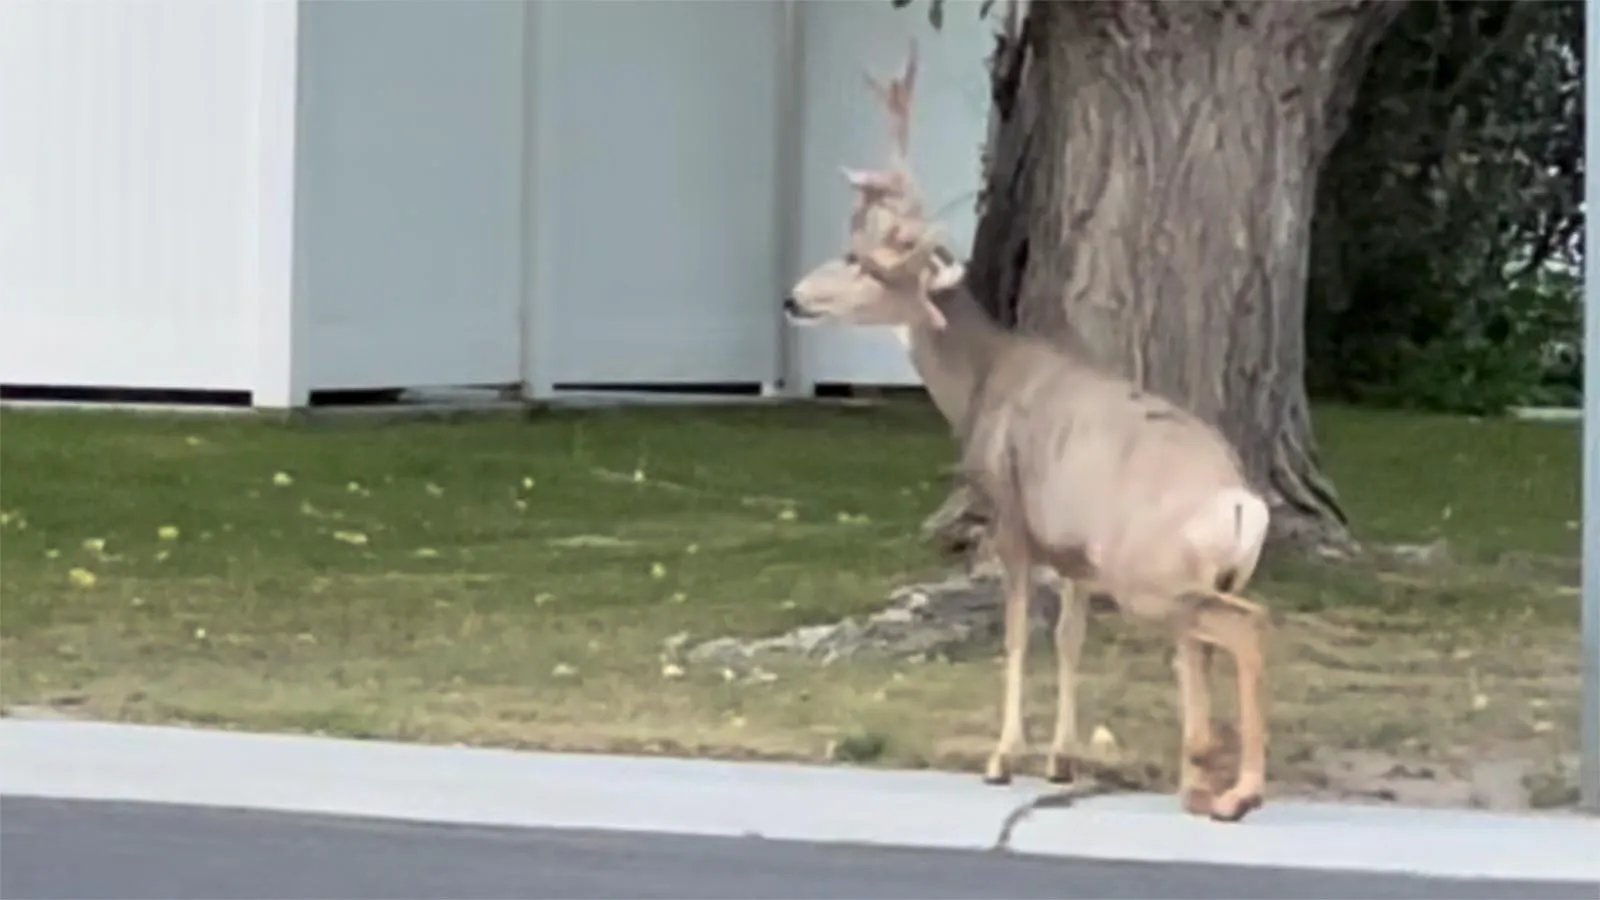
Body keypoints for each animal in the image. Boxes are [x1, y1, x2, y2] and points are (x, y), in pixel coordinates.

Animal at [781, 43, 1274, 822]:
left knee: (1244, 628)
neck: (982, 384)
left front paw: (1003, 756)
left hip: (1149, 574)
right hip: (1180, 574)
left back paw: (1237, 790)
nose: (794, 298)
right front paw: (1063, 758)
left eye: (864, 262)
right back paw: (1198, 776)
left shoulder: (1011, 515)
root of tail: (1241, 503)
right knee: (1201, 642)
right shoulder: (1075, 554)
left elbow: (1017, 634)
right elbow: (1070, 638)